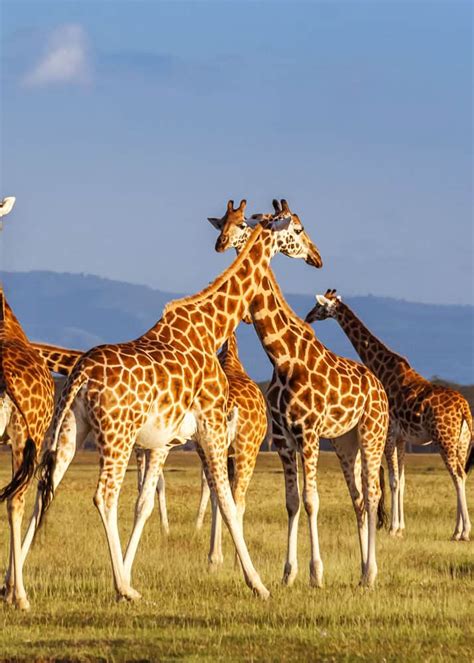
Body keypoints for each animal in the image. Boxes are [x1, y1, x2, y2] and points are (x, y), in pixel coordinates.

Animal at [28, 202, 321, 602]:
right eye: (299, 229)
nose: (316, 257)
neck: (211, 328)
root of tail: (82, 373)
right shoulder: (211, 427)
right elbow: (227, 504)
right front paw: (257, 584)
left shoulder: (163, 441)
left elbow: (146, 503)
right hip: (119, 435)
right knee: (104, 496)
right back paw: (124, 589)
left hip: (70, 430)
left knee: (42, 490)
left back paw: (16, 590)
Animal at [210, 199, 389, 588]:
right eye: (225, 222)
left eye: (299, 227)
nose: (317, 256)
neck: (283, 356)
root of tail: (379, 387)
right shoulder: (283, 439)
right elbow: (292, 502)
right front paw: (287, 574)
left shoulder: (308, 434)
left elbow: (311, 500)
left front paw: (315, 574)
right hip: (346, 441)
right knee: (358, 498)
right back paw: (360, 570)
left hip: (373, 433)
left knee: (372, 493)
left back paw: (371, 573)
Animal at [305, 289, 473, 540]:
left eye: (319, 306)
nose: (308, 317)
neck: (382, 367)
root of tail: (464, 408)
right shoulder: (402, 438)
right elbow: (401, 480)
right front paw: (401, 527)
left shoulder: (389, 433)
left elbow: (393, 480)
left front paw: (393, 528)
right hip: (461, 442)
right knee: (459, 476)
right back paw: (456, 530)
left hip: (445, 438)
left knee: (459, 475)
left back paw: (463, 533)